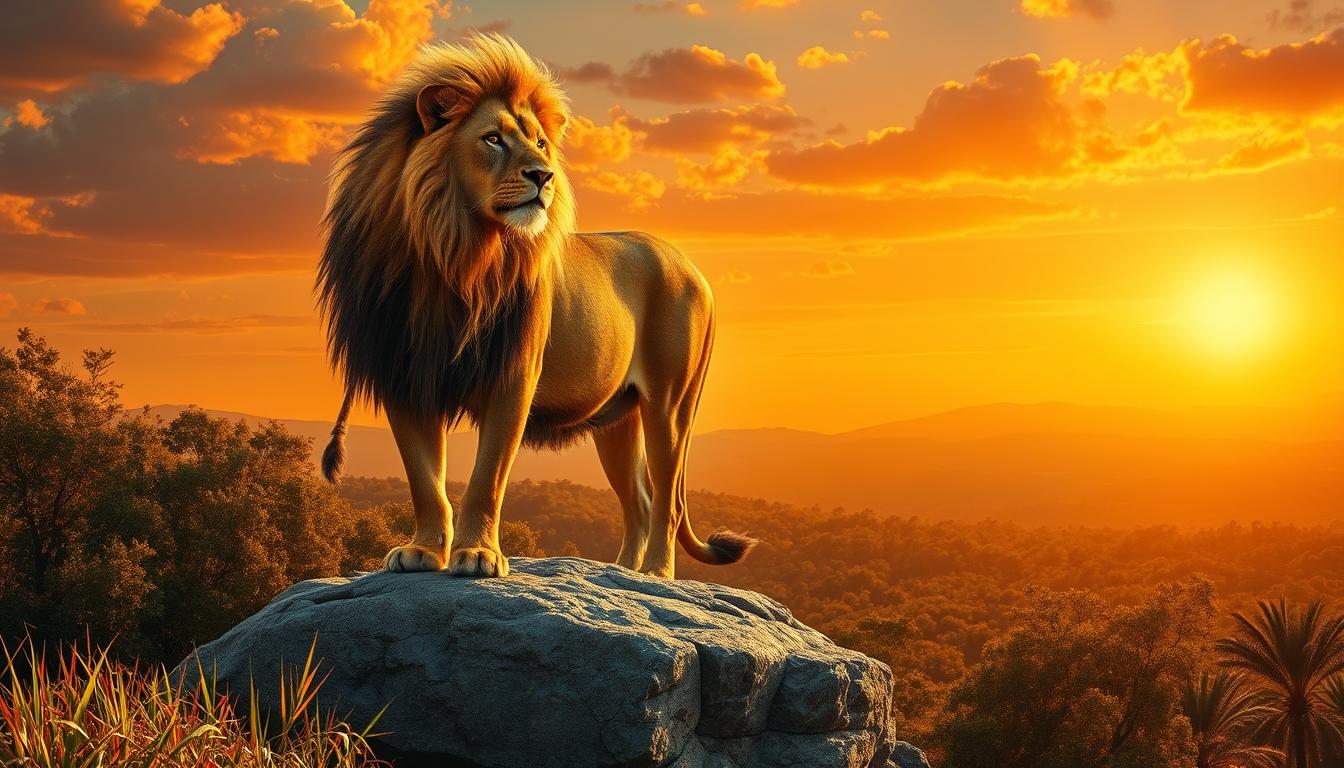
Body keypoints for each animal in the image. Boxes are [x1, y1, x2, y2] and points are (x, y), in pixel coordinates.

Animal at [316, 35, 755, 579]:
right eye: (493, 139)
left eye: (541, 144)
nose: (543, 176)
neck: (448, 252)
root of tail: (690, 264)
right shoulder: (405, 375)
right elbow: (425, 482)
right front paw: (422, 552)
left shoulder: (513, 375)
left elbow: (487, 478)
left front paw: (478, 555)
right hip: (617, 418)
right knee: (640, 503)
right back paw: (622, 574)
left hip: (670, 404)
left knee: (668, 502)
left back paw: (655, 573)